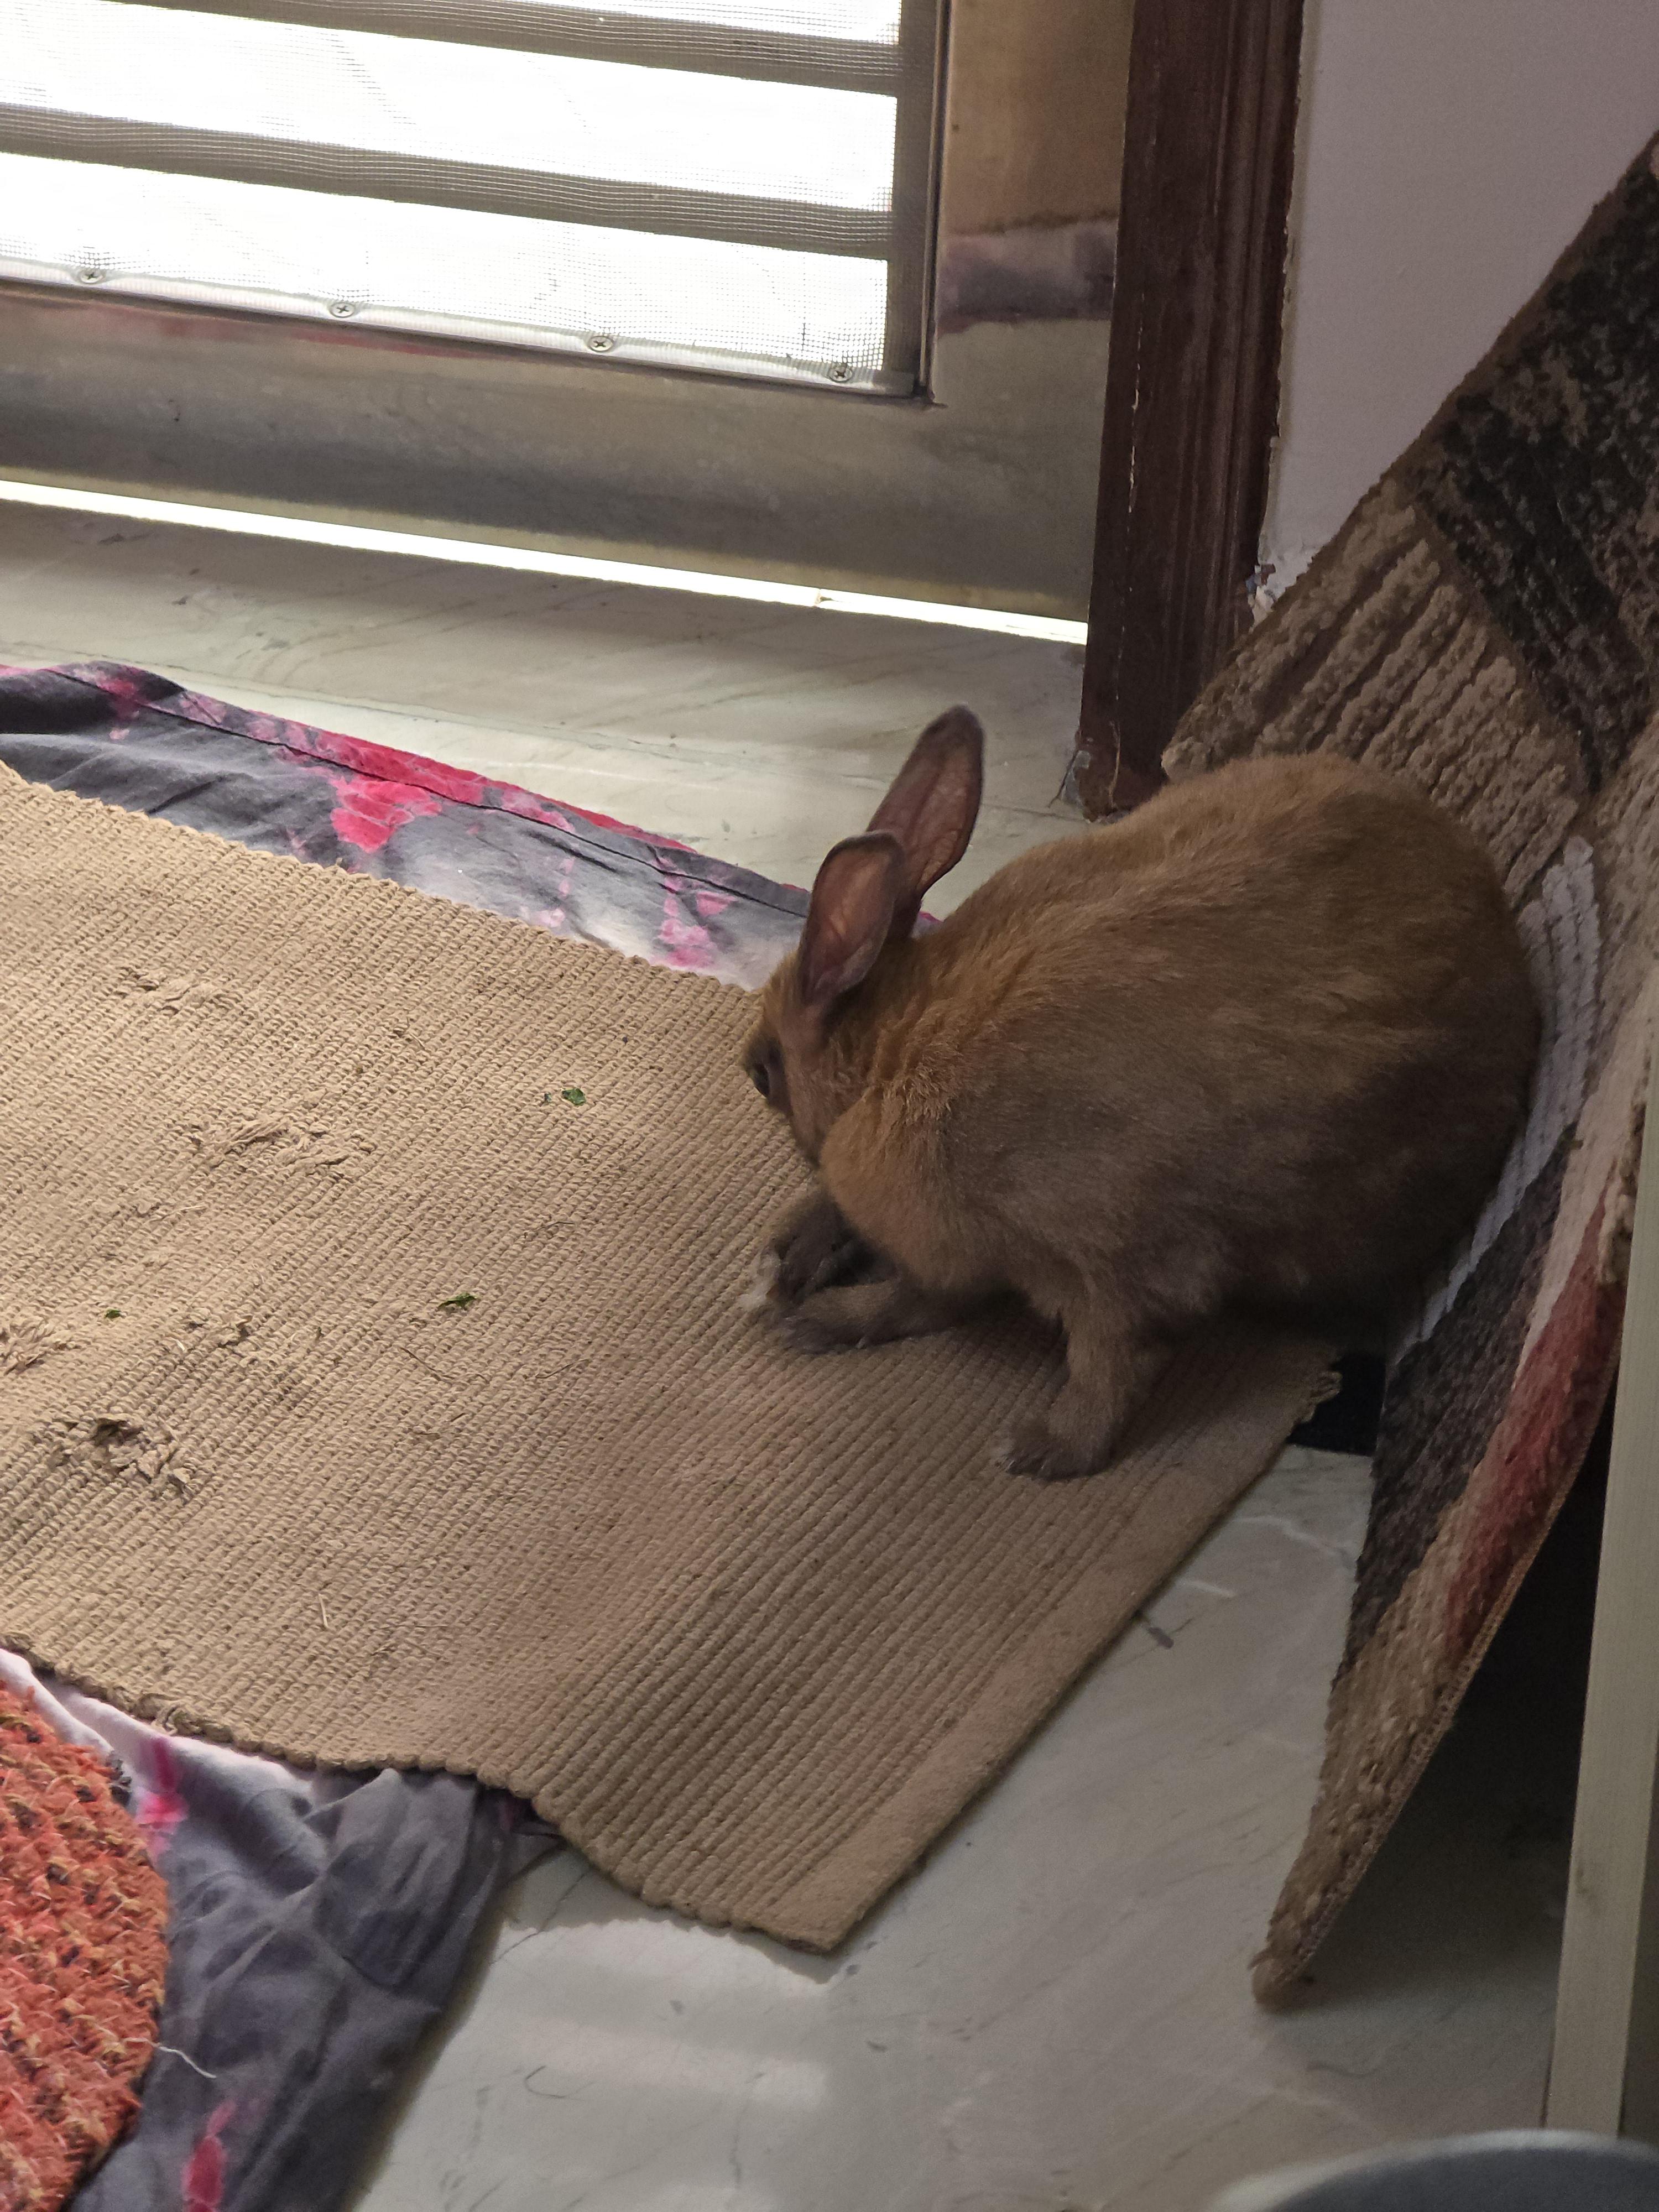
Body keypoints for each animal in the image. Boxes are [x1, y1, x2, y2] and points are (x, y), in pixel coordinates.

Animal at [741, 707, 1539, 1480]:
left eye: (766, 1072)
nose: (748, 1062)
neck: (893, 1052)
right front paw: (793, 1277)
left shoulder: (1118, 1266)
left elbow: (1102, 1362)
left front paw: (1043, 1449)